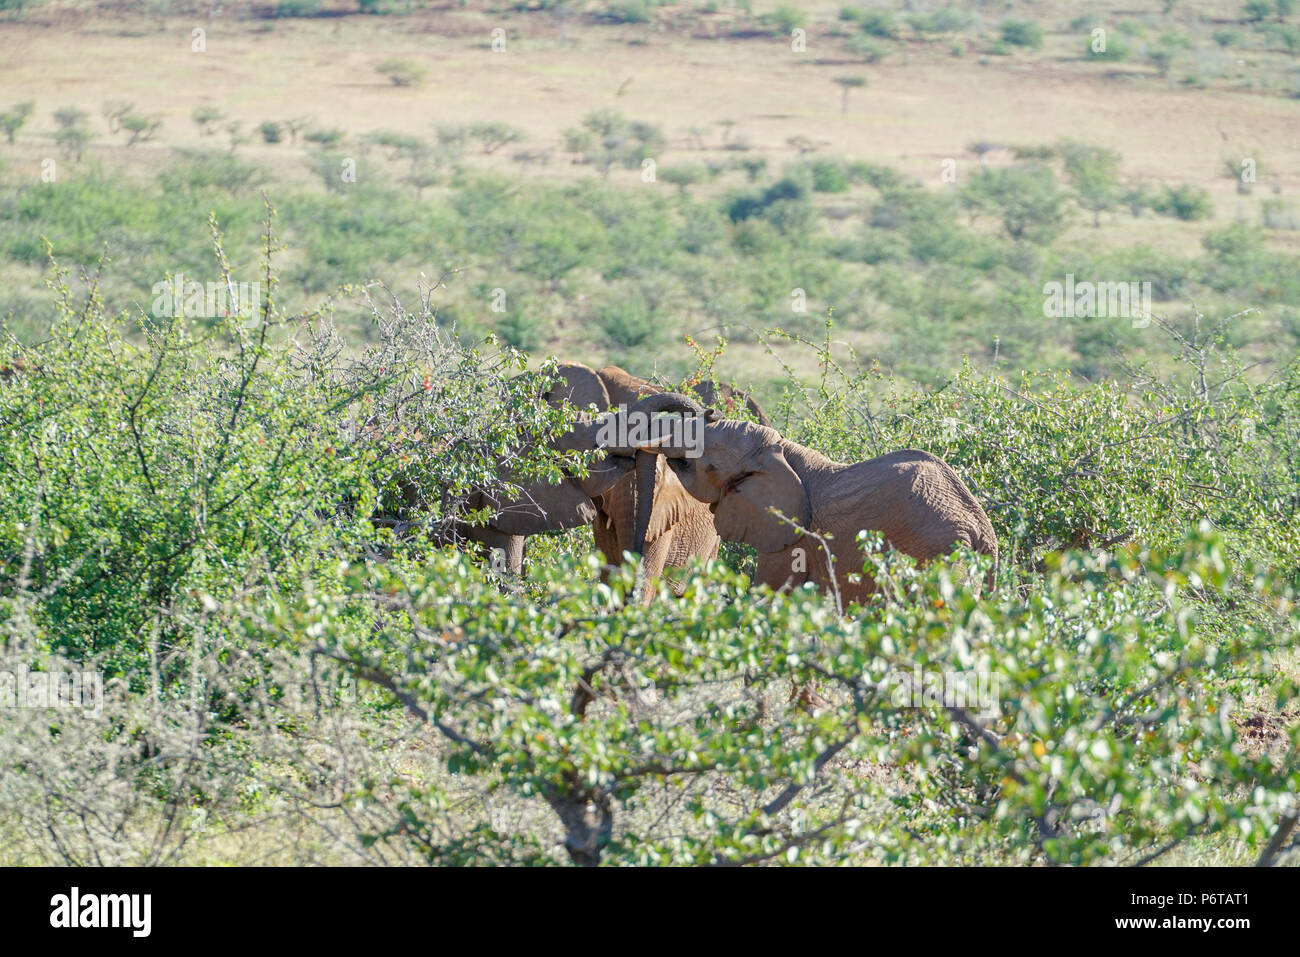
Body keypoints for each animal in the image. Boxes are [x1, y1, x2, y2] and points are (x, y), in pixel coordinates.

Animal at [627, 406, 999, 608]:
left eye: (710, 466)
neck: (782, 450)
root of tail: (983, 532)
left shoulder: (791, 536)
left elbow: (769, 597)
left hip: (939, 558)